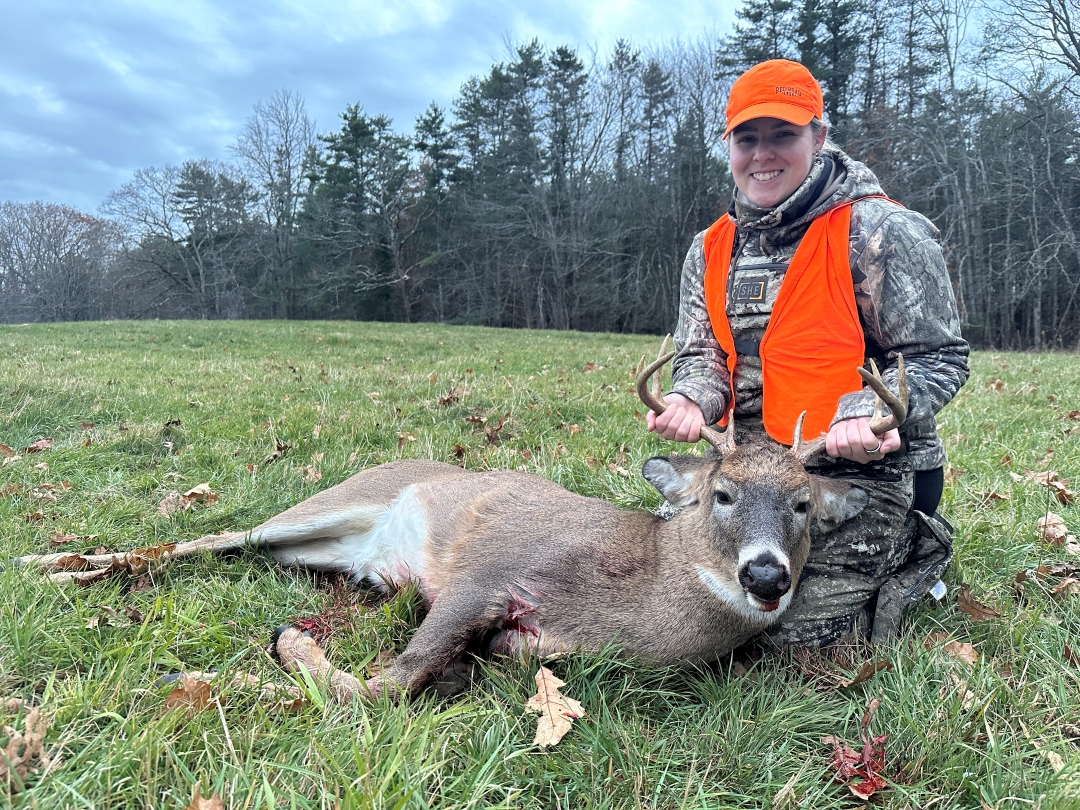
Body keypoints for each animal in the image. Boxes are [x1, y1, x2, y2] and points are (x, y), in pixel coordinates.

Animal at [14, 341, 908, 700]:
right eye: (721, 495)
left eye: (804, 506)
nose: (766, 575)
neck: (636, 593)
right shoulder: (487, 570)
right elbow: (388, 685)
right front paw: (259, 660)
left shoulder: (515, 646)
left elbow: (424, 679)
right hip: (332, 502)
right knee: (205, 537)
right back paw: (49, 566)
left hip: (328, 553)